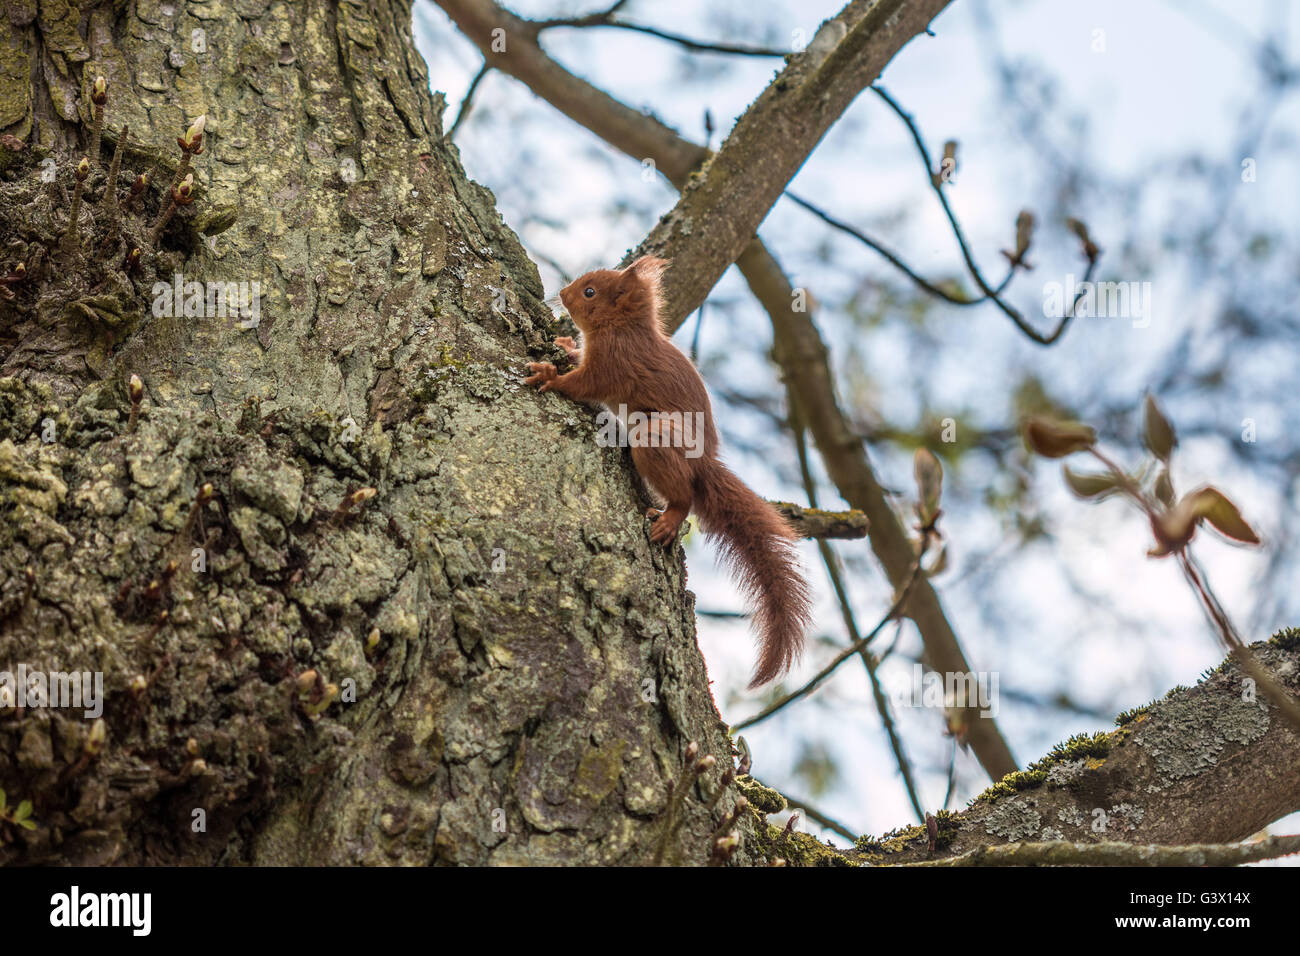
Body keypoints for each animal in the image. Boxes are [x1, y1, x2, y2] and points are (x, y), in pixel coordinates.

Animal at [524, 255, 812, 688]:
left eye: (590, 292)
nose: (561, 293)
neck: (623, 328)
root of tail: (703, 464)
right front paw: (566, 346)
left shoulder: (614, 363)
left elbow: (582, 384)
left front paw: (549, 375)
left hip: (656, 440)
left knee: (684, 495)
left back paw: (670, 517)